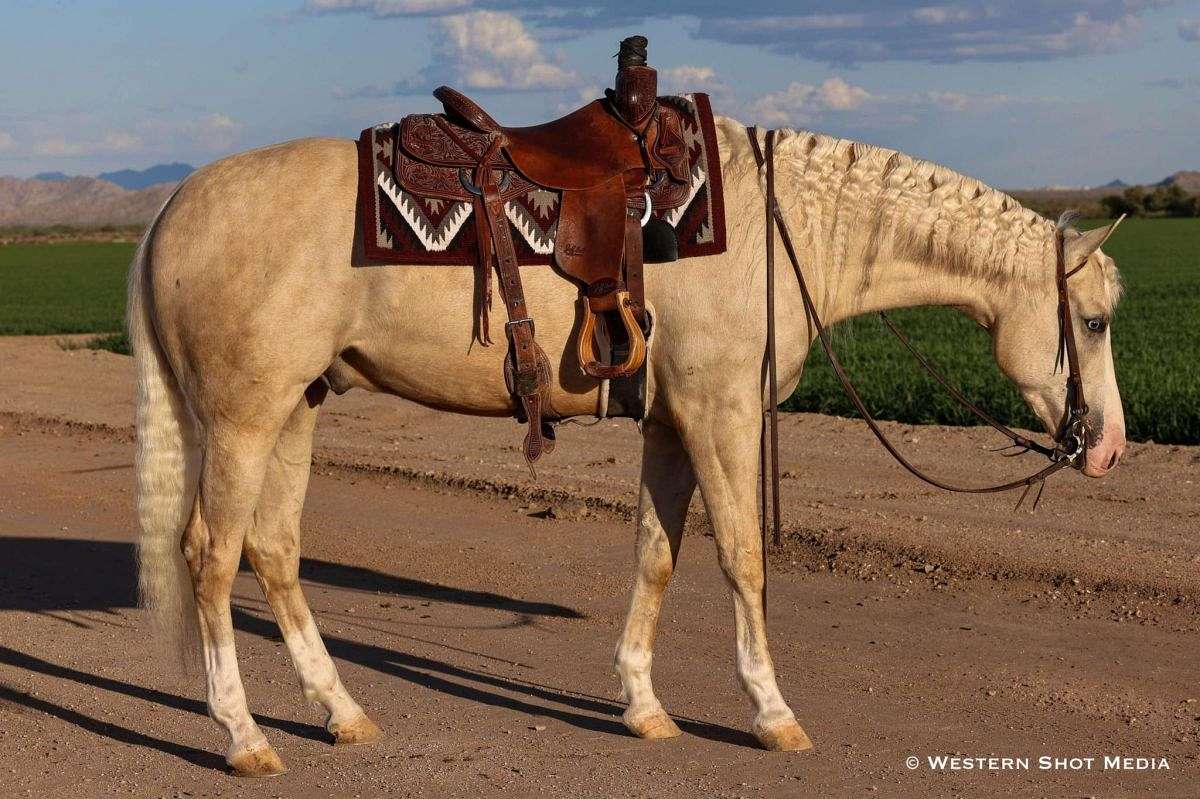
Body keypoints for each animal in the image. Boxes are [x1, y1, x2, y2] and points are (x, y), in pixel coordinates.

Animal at [128, 116, 1126, 775]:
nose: (1109, 448)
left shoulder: (671, 423)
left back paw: (341, 713)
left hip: (296, 407)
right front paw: (772, 713)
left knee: (273, 550)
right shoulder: (721, 411)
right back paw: (245, 736)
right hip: (243, 418)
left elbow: (657, 555)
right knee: (211, 554)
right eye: (1095, 320)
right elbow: (743, 558)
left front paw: (643, 706)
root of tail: (172, 205)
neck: (777, 230)